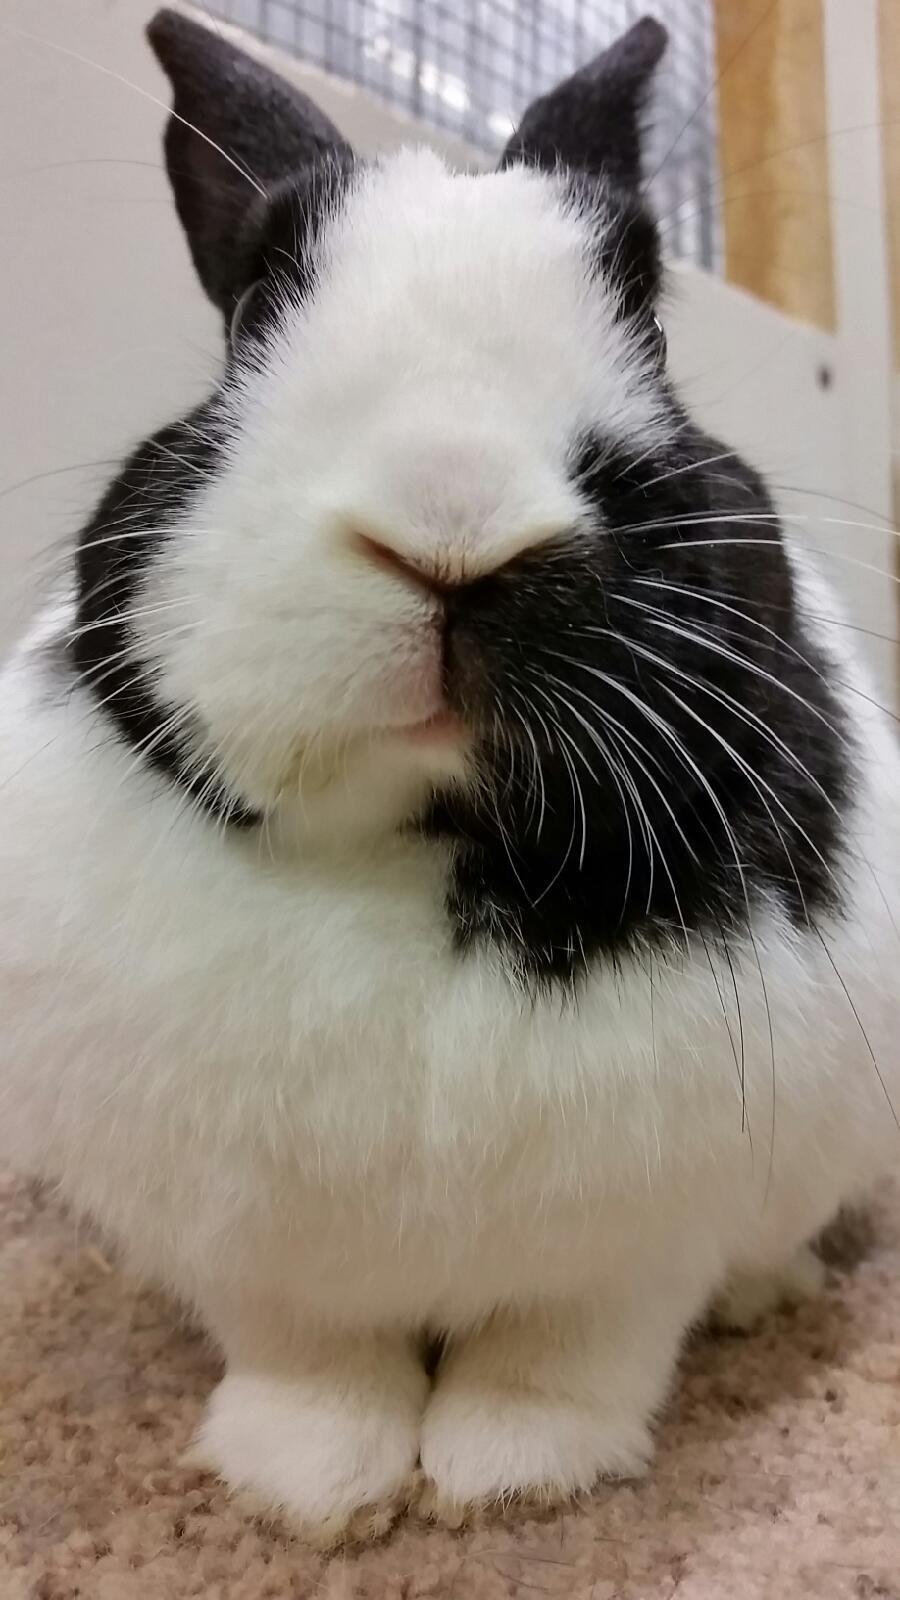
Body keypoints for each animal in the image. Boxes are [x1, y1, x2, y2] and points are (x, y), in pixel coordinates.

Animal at [0, 6, 898, 1548]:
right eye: (252, 312)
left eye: (652, 321)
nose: (451, 523)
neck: (414, 848)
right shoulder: (254, 1253)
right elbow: (308, 1360)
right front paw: (309, 1492)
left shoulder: (635, 1250)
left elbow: (568, 1358)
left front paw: (508, 1479)